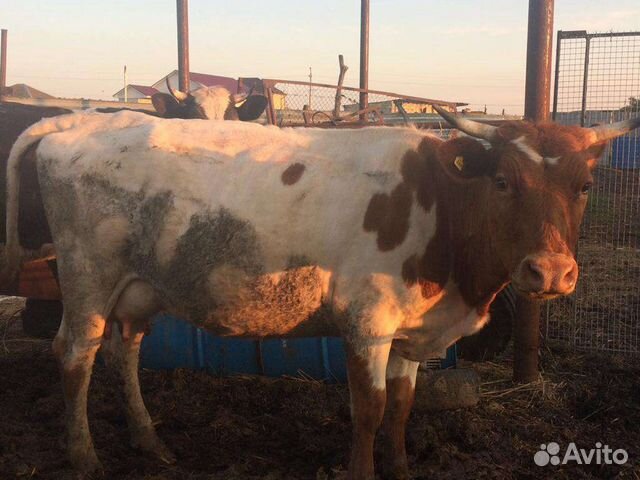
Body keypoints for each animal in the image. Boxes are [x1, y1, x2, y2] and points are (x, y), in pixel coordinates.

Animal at [3, 107, 639, 479]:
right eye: (504, 181)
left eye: (585, 185)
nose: (549, 273)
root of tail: (80, 120)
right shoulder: (367, 322)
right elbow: (369, 409)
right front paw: (361, 471)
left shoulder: (410, 331)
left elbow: (402, 406)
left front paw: (401, 468)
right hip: (87, 277)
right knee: (75, 354)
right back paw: (85, 456)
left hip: (139, 288)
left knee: (125, 350)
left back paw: (148, 440)